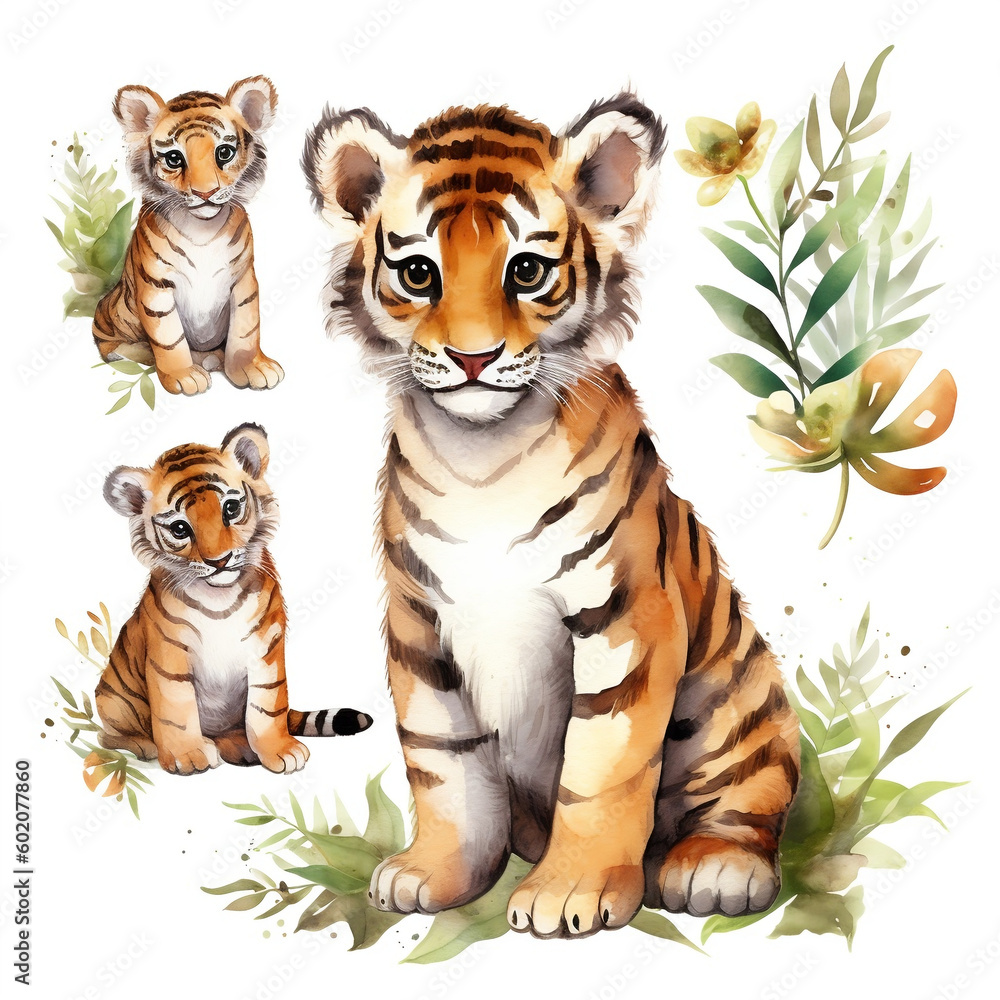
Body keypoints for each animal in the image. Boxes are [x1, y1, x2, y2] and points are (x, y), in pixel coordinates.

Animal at [92, 77, 284, 396]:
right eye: (174, 158)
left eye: (224, 153)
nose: (205, 193)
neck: (202, 230)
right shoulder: (156, 285)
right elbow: (169, 338)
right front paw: (183, 376)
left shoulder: (242, 278)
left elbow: (246, 328)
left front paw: (252, 367)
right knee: (112, 347)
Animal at [97, 423, 372, 775]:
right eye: (179, 529)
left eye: (230, 509)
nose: (219, 561)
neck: (220, 598)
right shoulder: (170, 653)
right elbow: (175, 709)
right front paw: (187, 757)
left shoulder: (266, 646)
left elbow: (267, 707)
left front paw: (280, 751)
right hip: (114, 699)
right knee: (109, 736)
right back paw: (149, 747)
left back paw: (240, 748)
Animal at [302, 94, 800, 937]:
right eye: (419, 273)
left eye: (526, 271)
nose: (472, 358)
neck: (481, 461)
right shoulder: (418, 624)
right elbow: (444, 763)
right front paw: (433, 874)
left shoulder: (626, 616)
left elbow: (600, 769)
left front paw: (571, 892)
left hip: (740, 706)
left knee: (749, 801)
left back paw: (714, 869)